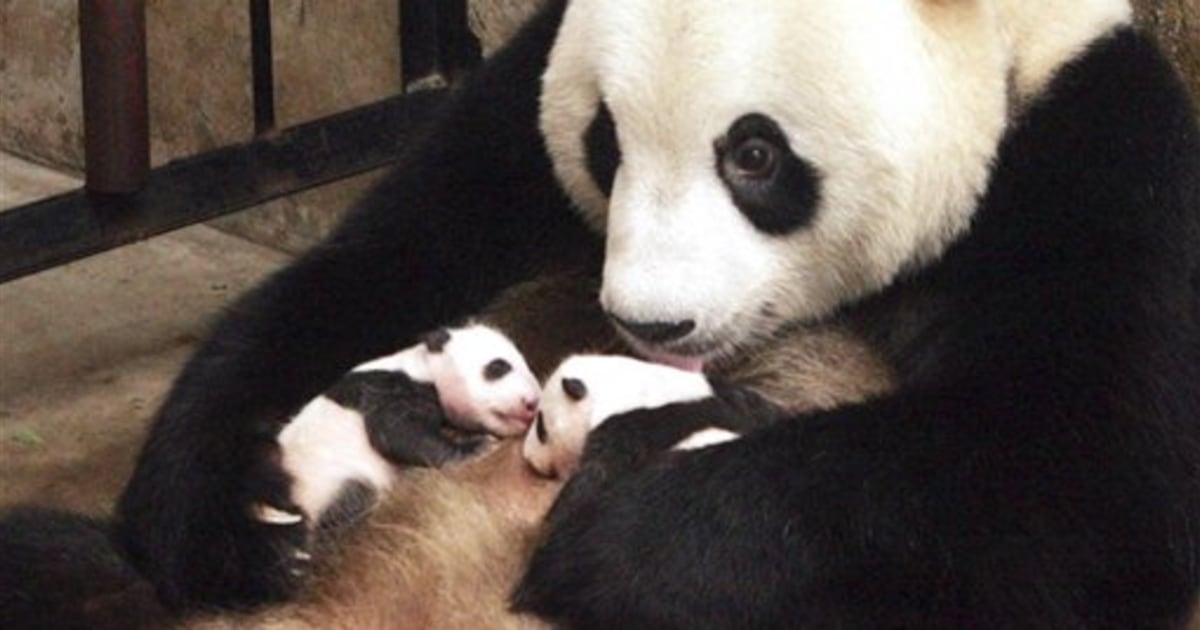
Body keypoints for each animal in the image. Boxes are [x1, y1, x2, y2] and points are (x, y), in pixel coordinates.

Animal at [110, 0, 1199, 625]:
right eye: (607, 140)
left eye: (754, 154)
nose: (655, 324)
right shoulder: (522, 106)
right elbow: (380, 266)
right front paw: (225, 511)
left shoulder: (1086, 155)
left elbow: (1089, 463)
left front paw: (615, 546)